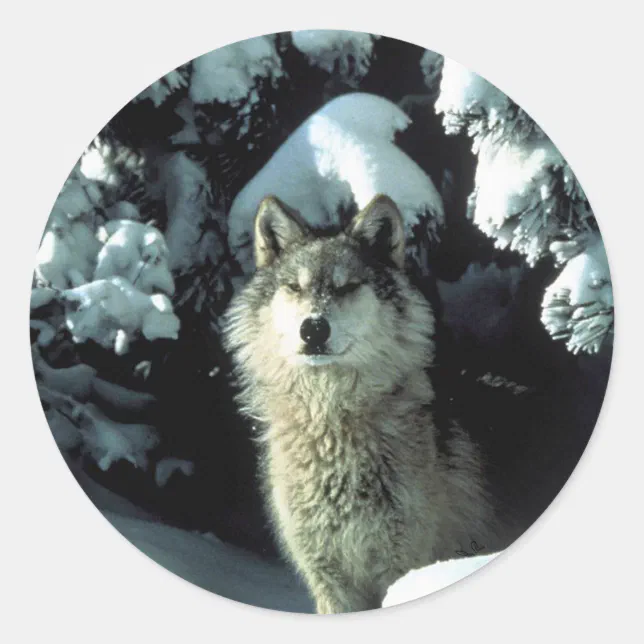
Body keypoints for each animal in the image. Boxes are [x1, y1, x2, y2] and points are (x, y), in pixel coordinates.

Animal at [223, 194, 500, 614]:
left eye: (347, 287)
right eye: (295, 287)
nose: (313, 328)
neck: (331, 426)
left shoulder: (401, 566)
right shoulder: (329, 580)